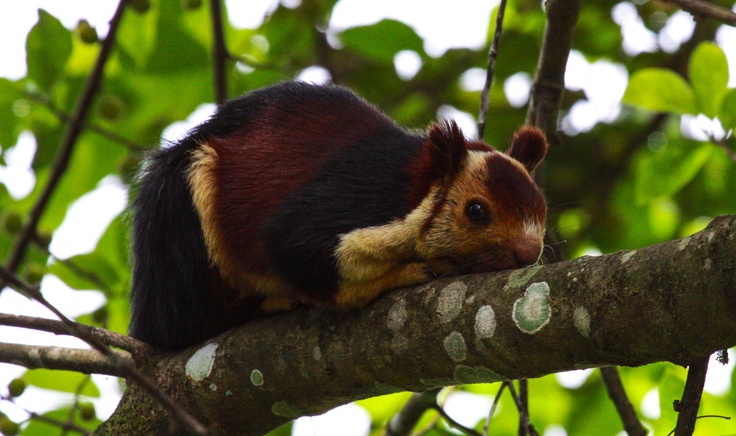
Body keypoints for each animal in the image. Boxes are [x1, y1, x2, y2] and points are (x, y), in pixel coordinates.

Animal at [129, 81, 548, 349]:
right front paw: (406, 272)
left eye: (542, 207)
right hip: (178, 213)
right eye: (476, 211)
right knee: (181, 326)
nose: (529, 252)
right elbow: (304, 255)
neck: (416, 188)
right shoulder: (352, 199)